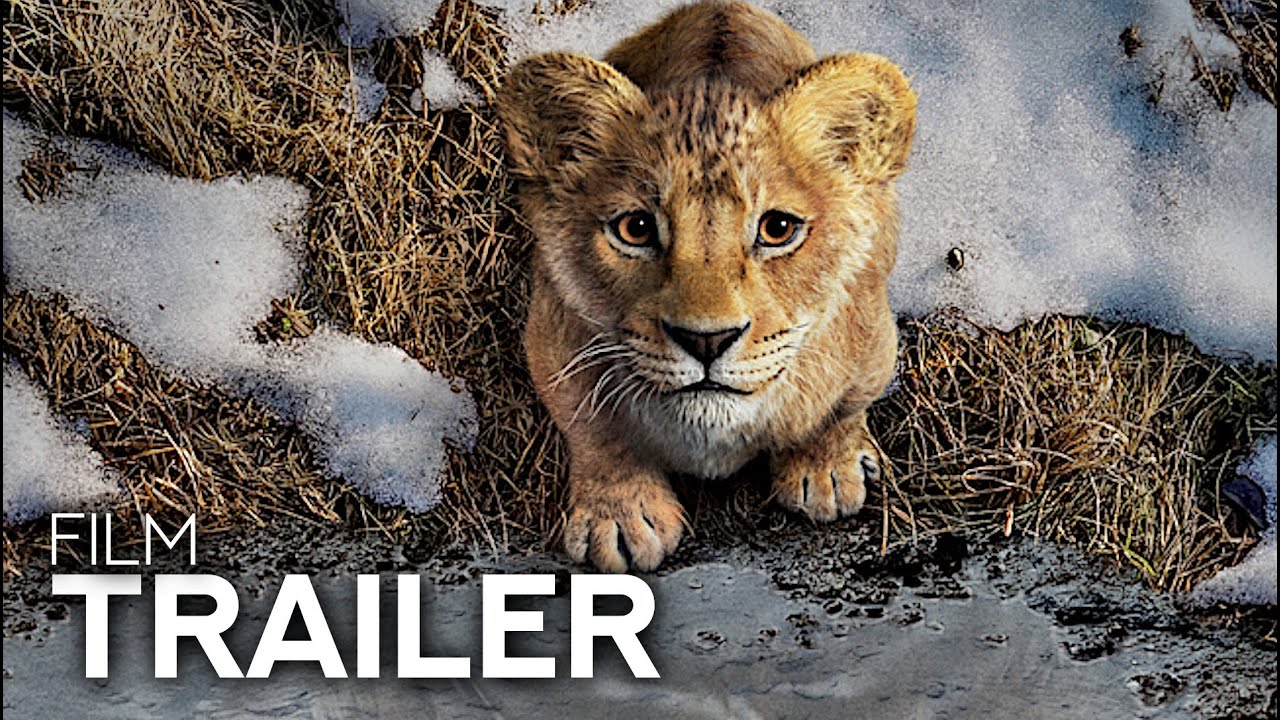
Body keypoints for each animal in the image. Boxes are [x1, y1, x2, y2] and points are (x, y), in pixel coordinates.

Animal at [498, 0, 916, 572]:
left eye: (777, 228)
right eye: (636, 228)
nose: (706, 340)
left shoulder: (872, 339)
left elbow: (840, 408)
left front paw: (826, 470)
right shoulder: (552, 337)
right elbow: (593, 428)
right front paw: (620, 517)